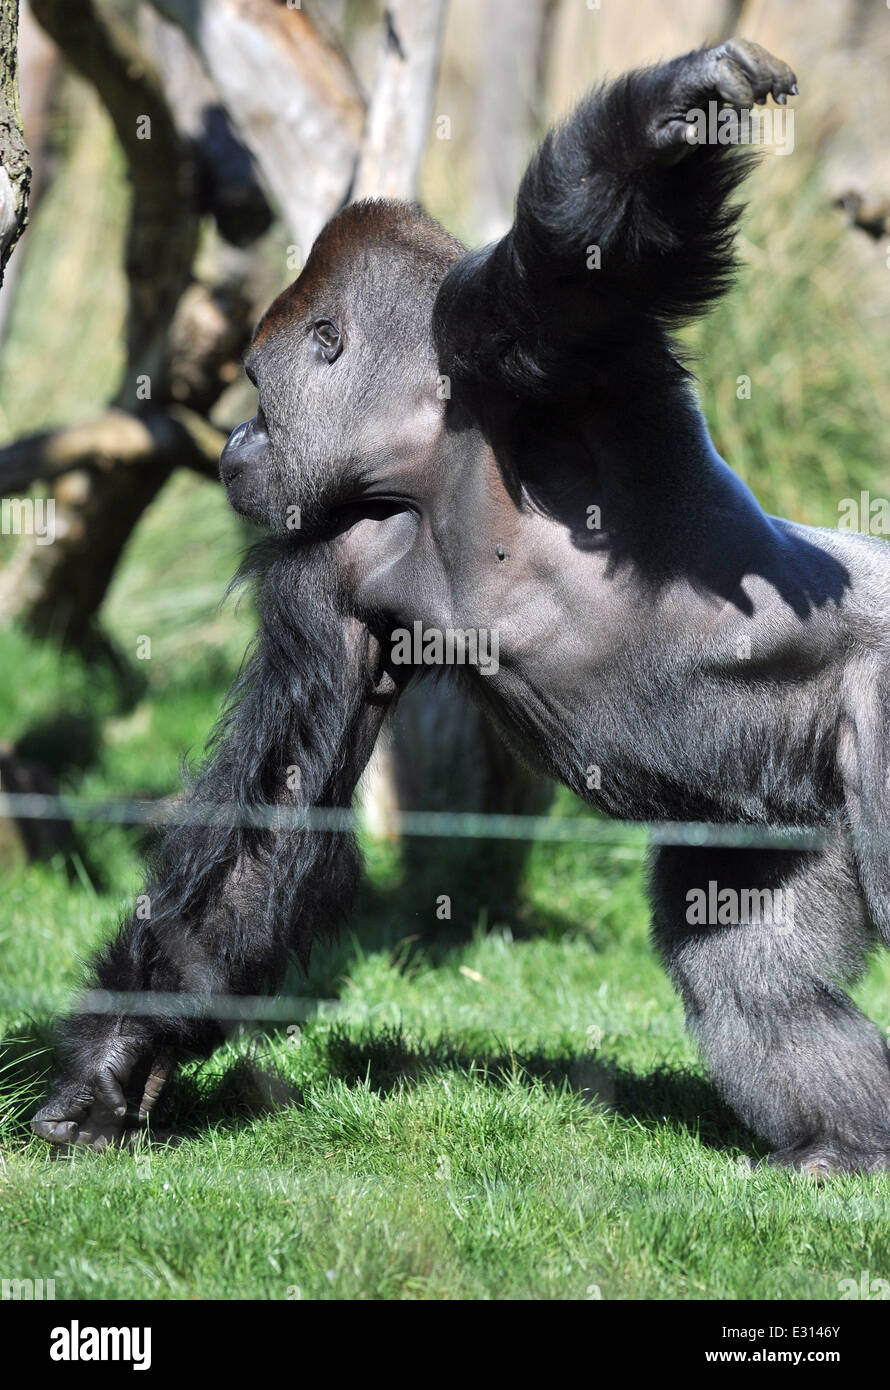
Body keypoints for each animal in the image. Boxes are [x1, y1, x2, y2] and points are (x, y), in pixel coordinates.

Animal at [32, 40, 890, 1175]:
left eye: (255, 386)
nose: (235, 444)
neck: (434, 458)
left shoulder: (506, 339)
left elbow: (584, 253)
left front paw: (668, 115)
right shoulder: (332, 559)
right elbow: (276, 804)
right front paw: (116, 1061)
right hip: (778, 809)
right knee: (752, 971)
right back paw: (844, 1143)